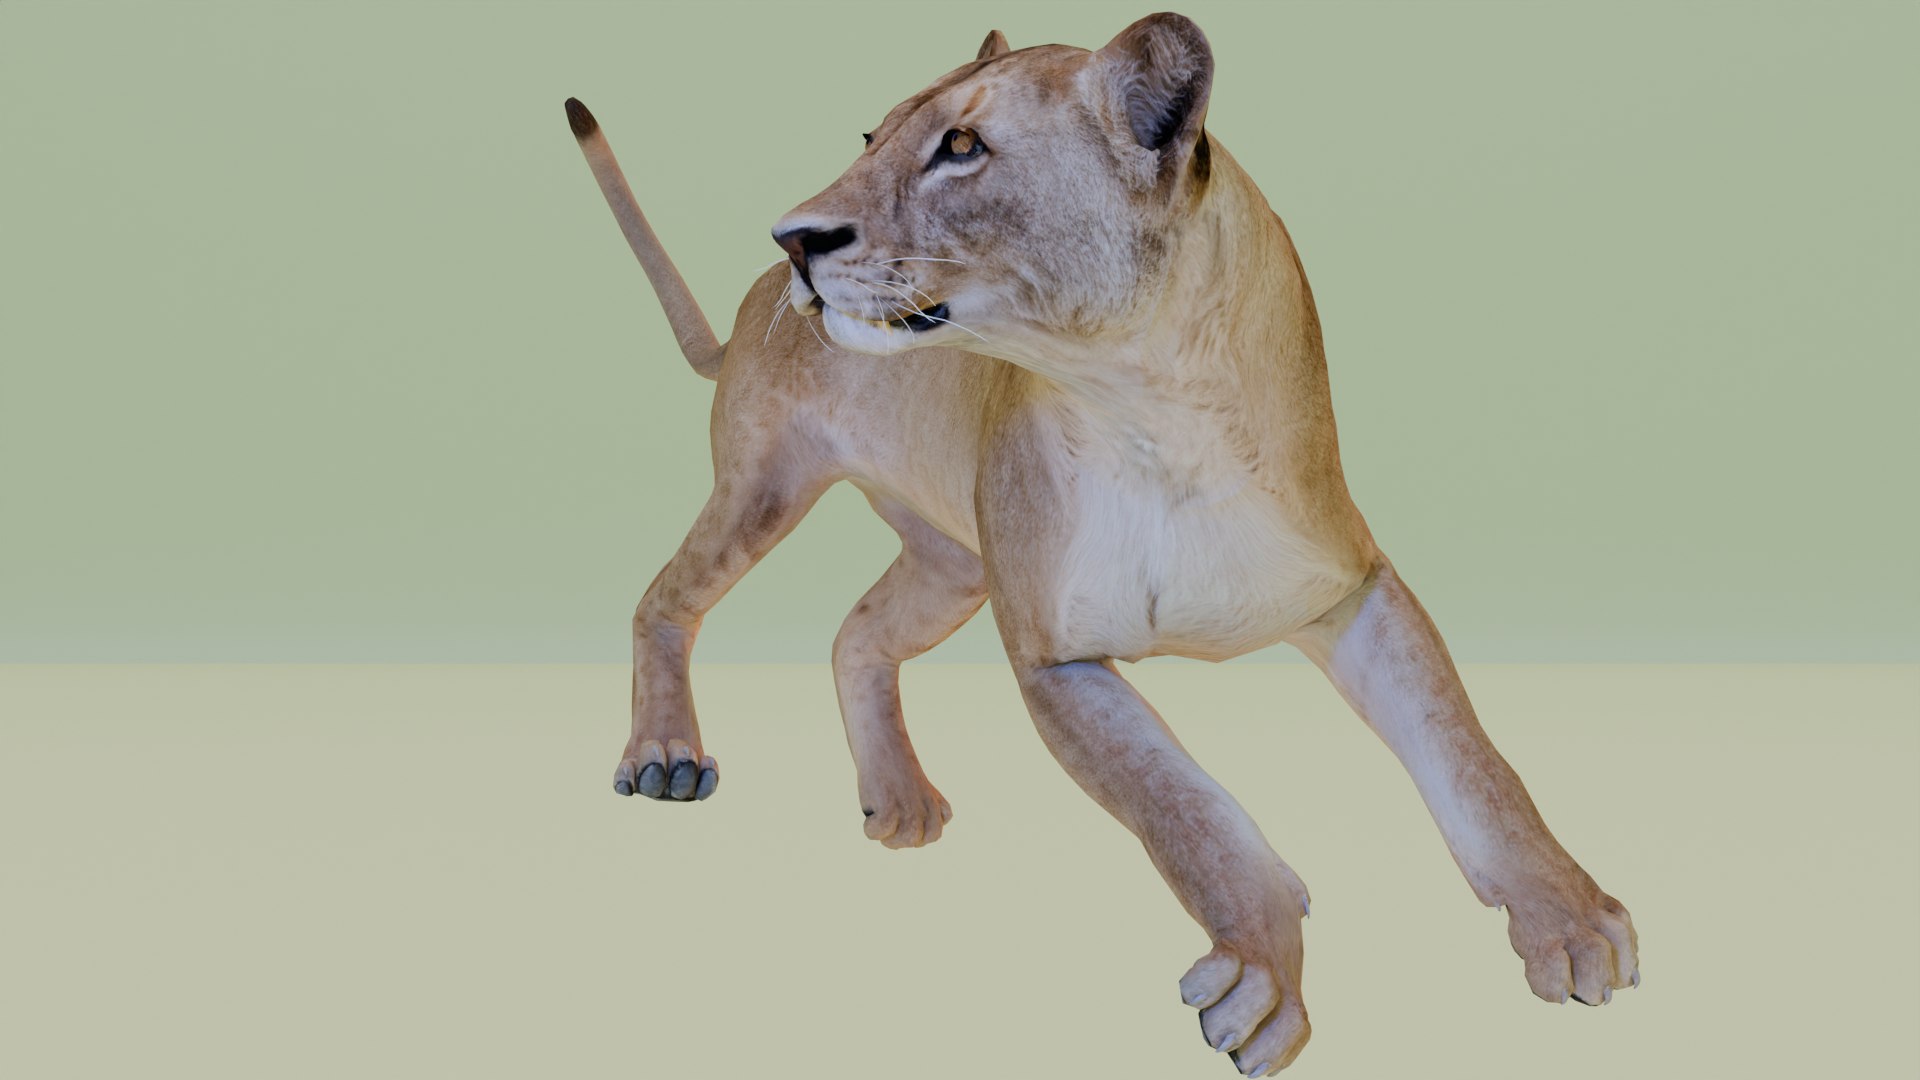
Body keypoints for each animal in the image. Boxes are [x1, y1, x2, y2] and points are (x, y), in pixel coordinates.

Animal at [564, 13, 1637, 1074]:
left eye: (961, 146)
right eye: (872, 138)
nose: (793, 238)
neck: (1157, 413)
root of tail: (750, 305)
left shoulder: (1356, 586)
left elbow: (1471, 758)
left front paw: (1575, 921)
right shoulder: (1054, 655)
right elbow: (1185, 811)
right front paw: (1260, 973)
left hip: (953, 565)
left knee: (854, 634)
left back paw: (897, 796)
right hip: (765, 488)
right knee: (664, 600)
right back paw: (666, 753)